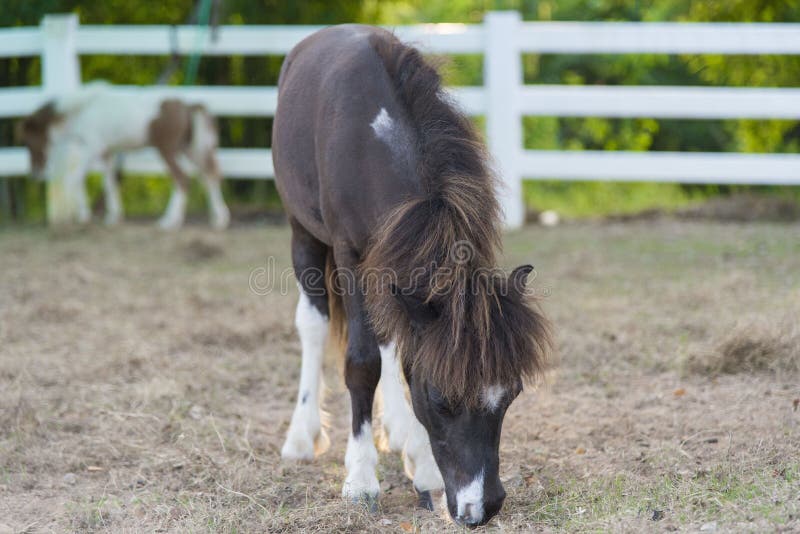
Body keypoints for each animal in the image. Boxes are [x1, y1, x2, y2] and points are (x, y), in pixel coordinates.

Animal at [17, 82, 230, 229]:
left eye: (28, 142)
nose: (34, 174)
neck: (83, 110)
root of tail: (188, 105)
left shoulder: (91, 148)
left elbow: (74, 178)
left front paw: (83, 216)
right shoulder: (107, 153)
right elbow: (109, 182)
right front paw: (113, 218)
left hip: (166, 149)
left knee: (183, 178)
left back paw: (169, 222)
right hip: (188, 148)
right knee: (209, 175)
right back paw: (219, 219)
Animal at [272, 25, 552, 526]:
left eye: (511, 394)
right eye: (441, 400)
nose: (482, 507)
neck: (376, 142)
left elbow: (399, 354)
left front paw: (423, 470)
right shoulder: (350, 254)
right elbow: (362, 362)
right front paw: (360, 481)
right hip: (302, 231)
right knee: (315, 325)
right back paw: (302, 436)